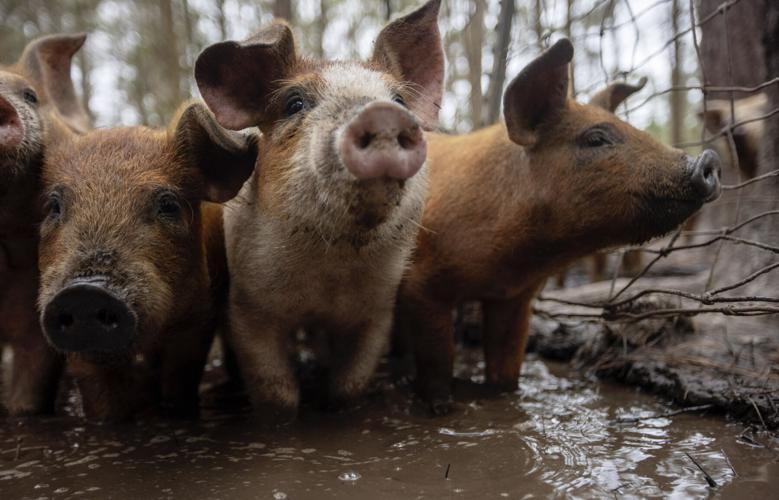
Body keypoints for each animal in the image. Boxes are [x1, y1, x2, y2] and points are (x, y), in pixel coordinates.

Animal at [37, 102, 257, 421]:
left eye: (168, 205)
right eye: (53, 206)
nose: (85, 291)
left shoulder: (198, 317)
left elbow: (179, 382)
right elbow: (100, 401)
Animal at [194, 0, 444, 421]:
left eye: (399, 101)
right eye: (295, 103)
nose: (382, 113)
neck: (330, 267)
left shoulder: (376, 311)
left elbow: (350, 384)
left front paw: (335, 411)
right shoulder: (248, 305)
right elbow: (276, 391)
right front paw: (284, 422)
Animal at [397, 39, 722, 414]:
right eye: (596, 139)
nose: (707, 159)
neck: (509, 263)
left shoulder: (514, 297)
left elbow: (507, 367)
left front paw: (505, 397)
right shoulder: (421, 286)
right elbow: (437, 363)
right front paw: (441, 408)